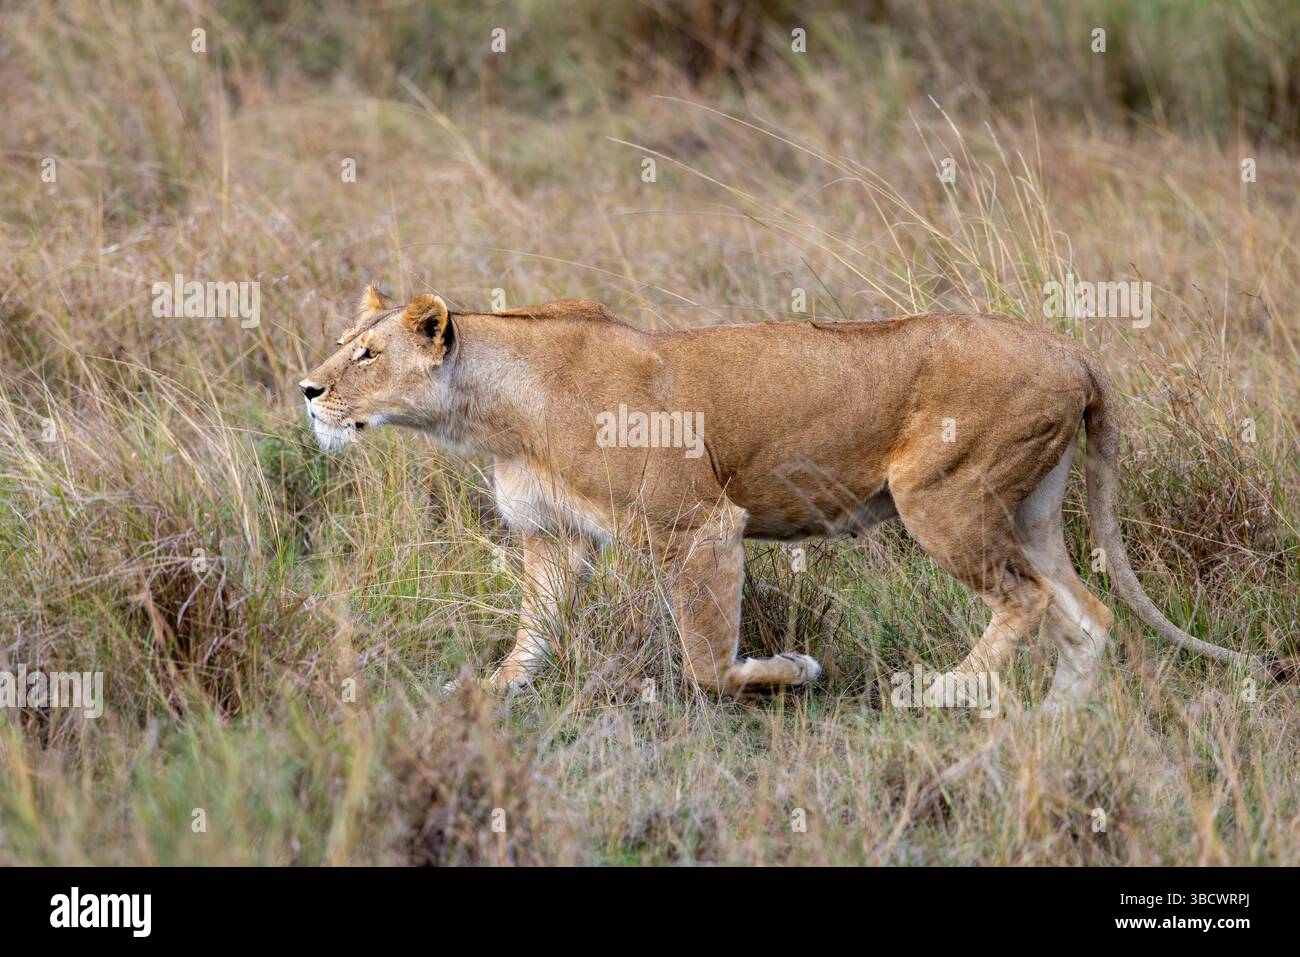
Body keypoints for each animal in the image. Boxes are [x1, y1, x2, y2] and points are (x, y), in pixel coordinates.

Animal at [299, 283, 1273, 710]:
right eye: (344, 341)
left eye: (367, 354)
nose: (307, 391)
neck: (495, 410)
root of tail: (1074, 350)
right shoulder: (555, 539)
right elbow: (531, 631)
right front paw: (490, 690)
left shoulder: (700, 523)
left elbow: (707, 659)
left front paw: (795, 672)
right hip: (1028, 509)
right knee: (1088, 614)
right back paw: (1051, 725)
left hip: (942, 495)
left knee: (1027, 603)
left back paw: (938, 691)